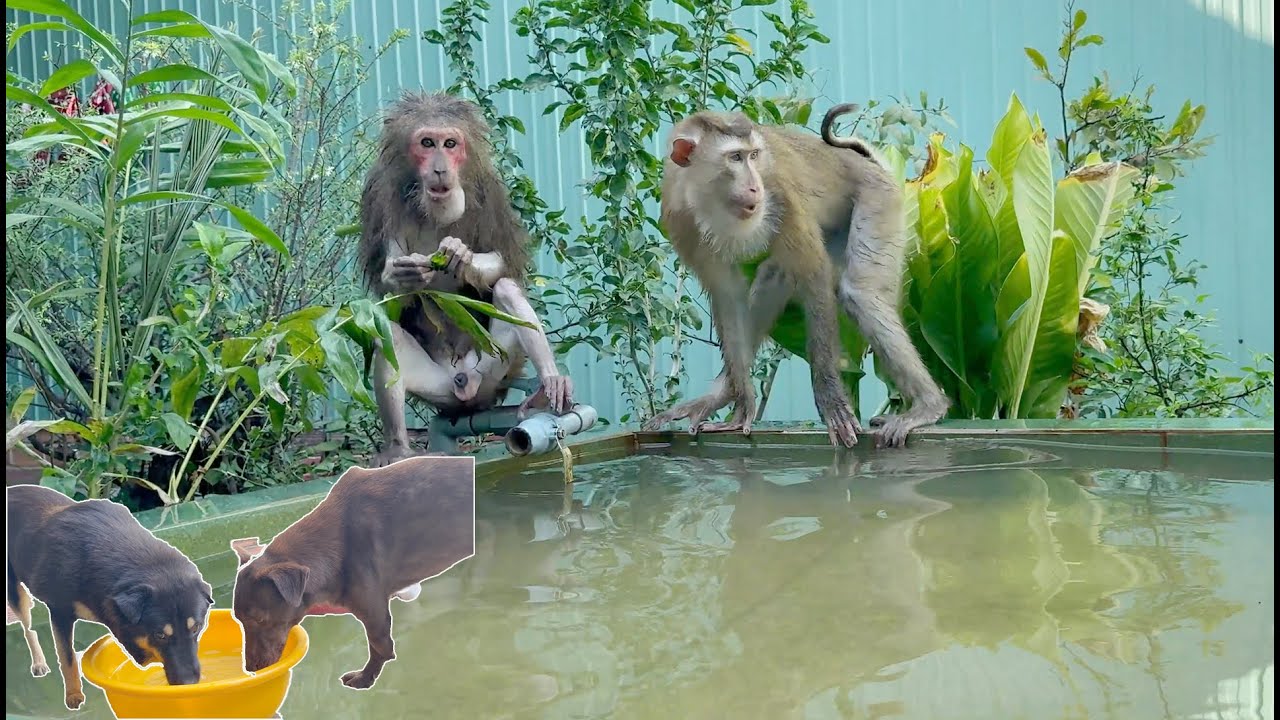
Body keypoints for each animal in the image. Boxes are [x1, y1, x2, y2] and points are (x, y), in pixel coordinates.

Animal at [358, 91, 574, 466]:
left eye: (450, 144)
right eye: (427, 143)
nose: (441, 168)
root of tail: (464, 384)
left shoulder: (490, 193)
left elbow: (502, 263)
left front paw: (461, 256)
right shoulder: (381, 198)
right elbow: (391, 292)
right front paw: (402, 273)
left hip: (490, 374)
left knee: (507, 290)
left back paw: (548, 385)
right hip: (440, 390)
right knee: (388, 333)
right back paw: (398, 446)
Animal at [641, 103, 950, 449]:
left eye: (753, 156)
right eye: (735, 158)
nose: (755, 187)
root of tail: (868, 162)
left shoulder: (780, 194)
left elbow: (815, 272)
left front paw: (831, 402)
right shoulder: (681, 221)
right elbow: (728, 297)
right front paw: (742, 404)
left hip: (879, 199)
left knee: (860, 294)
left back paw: (928, 406)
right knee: (776, 274)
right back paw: (721, 393)